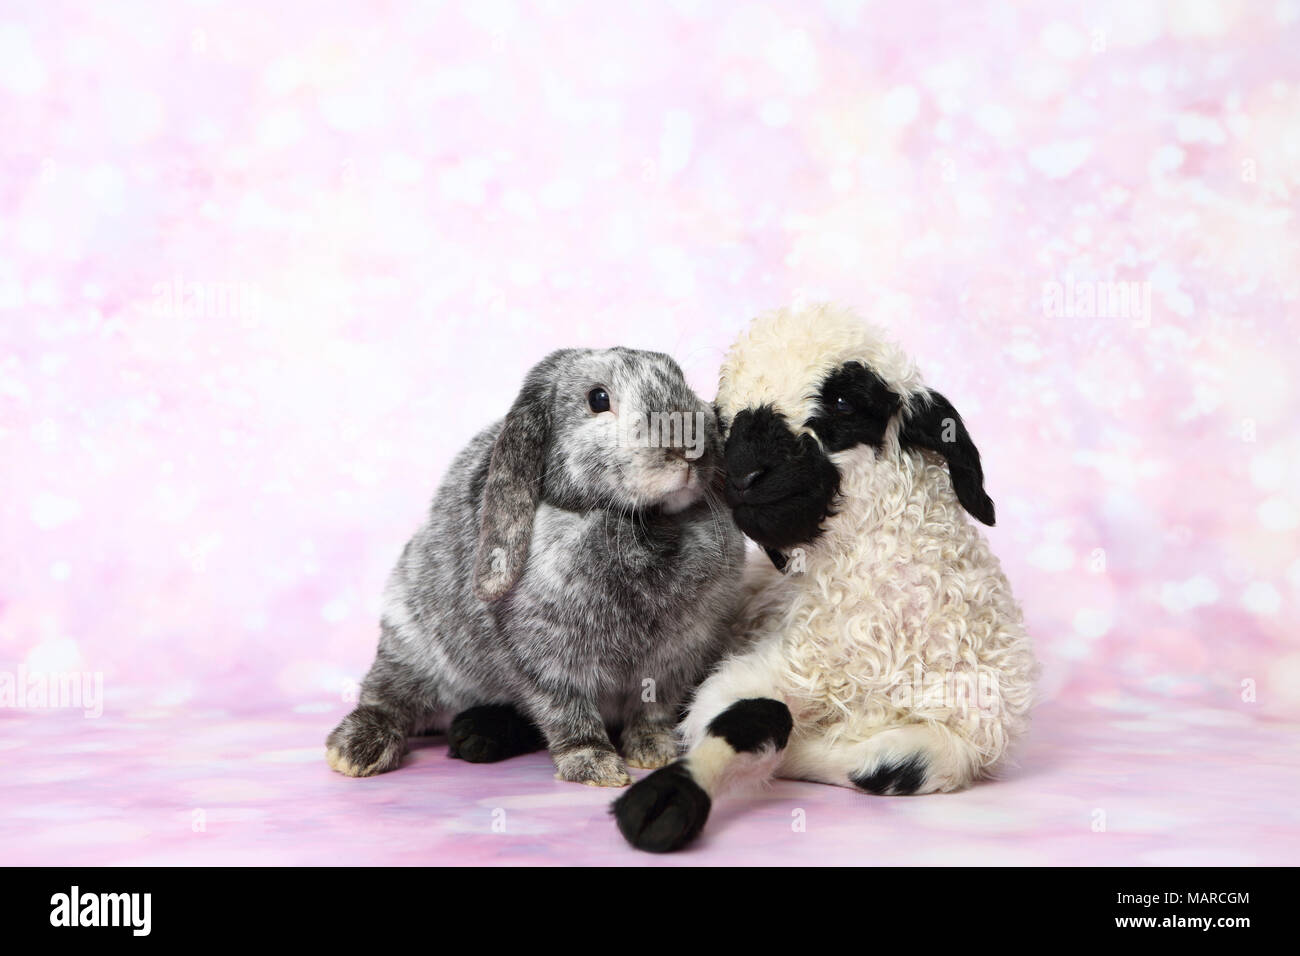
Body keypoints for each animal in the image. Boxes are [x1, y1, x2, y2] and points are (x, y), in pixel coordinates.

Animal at [326, 347, 745, 787]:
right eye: (598, 399)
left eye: (681, 380)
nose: (688, 449)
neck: (643, 523)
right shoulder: (548, 662)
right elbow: (568, 715)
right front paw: (595, 767)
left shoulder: (675, 661)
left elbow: (654, 711)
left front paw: (654, 751)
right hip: (409, 640)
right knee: (386, 696)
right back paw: (356, 750)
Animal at [613, 303, 1038, 852]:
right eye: (725, 422)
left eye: (841, 401)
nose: (742, 476)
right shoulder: (761, 671)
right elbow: (754, 716)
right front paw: (664, 803)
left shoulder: (969, 726)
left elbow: (883, 765)